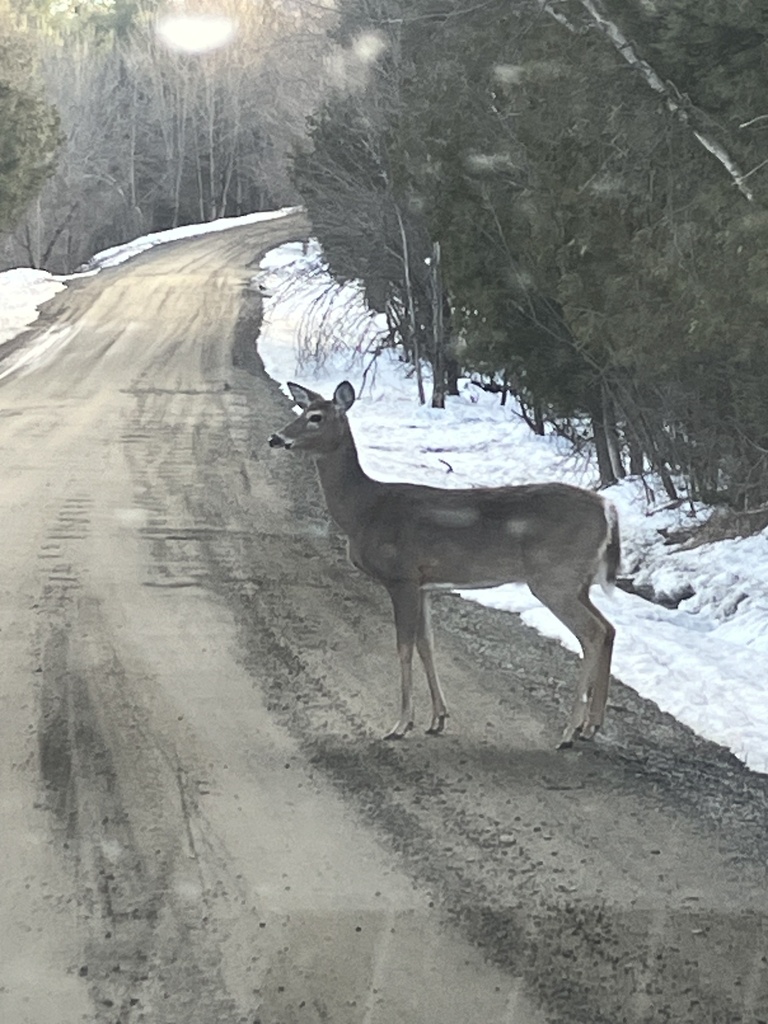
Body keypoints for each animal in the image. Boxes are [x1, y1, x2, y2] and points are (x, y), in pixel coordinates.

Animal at [268, 381, 620, 748]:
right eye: (303, 410)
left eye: (316, 417)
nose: (275, 438)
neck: (364, 510)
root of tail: (607, 509)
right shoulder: (423, 584)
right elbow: (427, 645)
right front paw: (437, 718)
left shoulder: (402, 577)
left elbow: (403, 647)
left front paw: (400, 723)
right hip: (577, 582)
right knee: (609, 629)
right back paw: (590, 726)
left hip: (554, 578)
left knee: (593, 633)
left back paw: (568, 731)